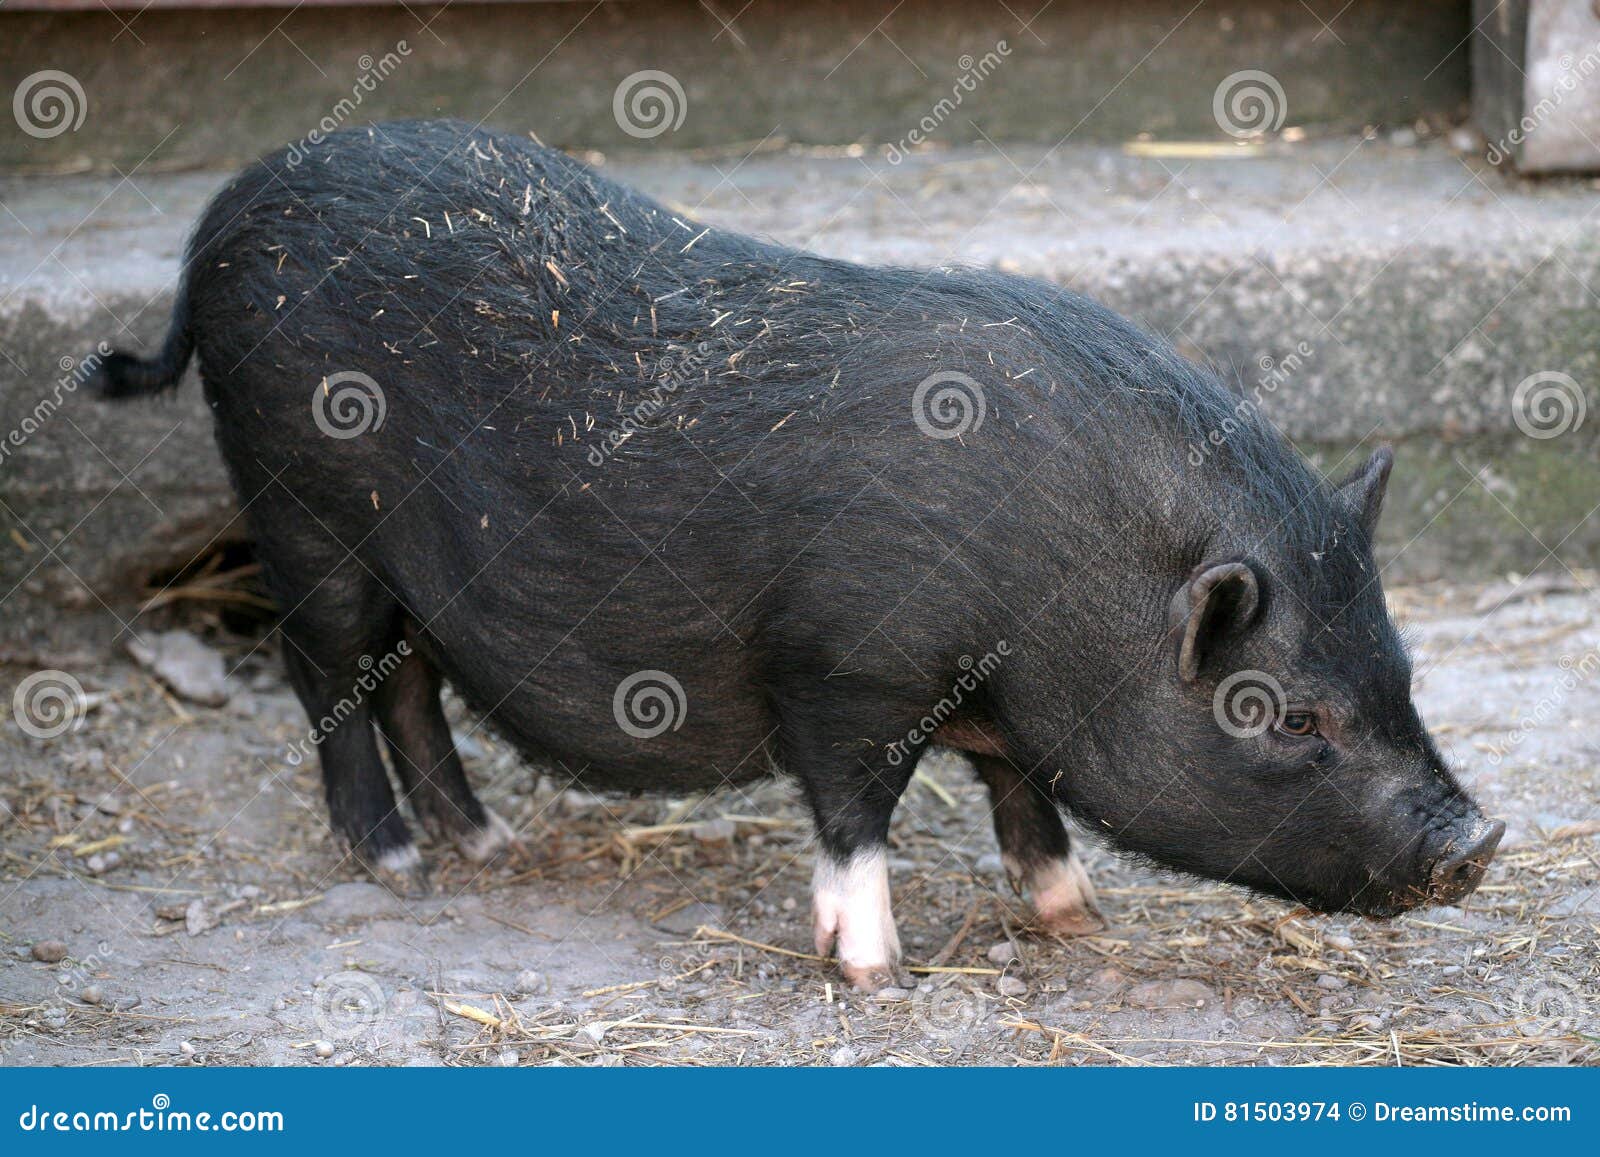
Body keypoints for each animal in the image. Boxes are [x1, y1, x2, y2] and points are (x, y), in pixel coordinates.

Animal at [95, 120, 1503, 991]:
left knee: (410, 679)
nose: (1480, 838)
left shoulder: (986, 701)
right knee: (329, 673)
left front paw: (1074, 916)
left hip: (402, 559)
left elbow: (1019, 790)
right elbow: (853, 809)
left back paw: (485, 846)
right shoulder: (844, 663)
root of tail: (221, 219)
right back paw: (398, 868)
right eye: (1288, 714)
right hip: (299, 501)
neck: (1059, 579)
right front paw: (876, 970)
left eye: (1404, 676)